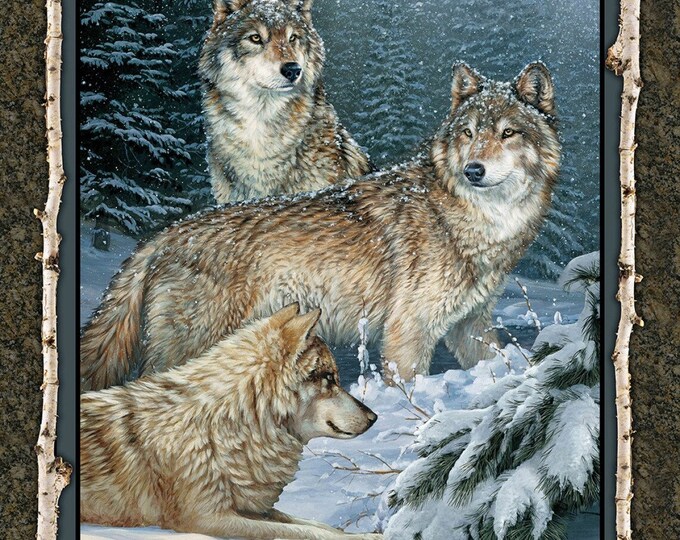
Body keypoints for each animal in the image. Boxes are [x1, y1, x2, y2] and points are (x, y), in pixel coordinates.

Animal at [81, 62, 560, 391]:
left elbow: (495, 361)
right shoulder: (408, 332)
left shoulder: (471, 326)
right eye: (468, 133)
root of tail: (163, 234)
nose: (473, 170)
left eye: (508, 133)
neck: (476, 224)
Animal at [81, 304, 381, 539]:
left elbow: (319, 526)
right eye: (329, 378)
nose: (374, 417)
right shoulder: (206, 519)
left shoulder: (256, 508)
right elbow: (303, 532)